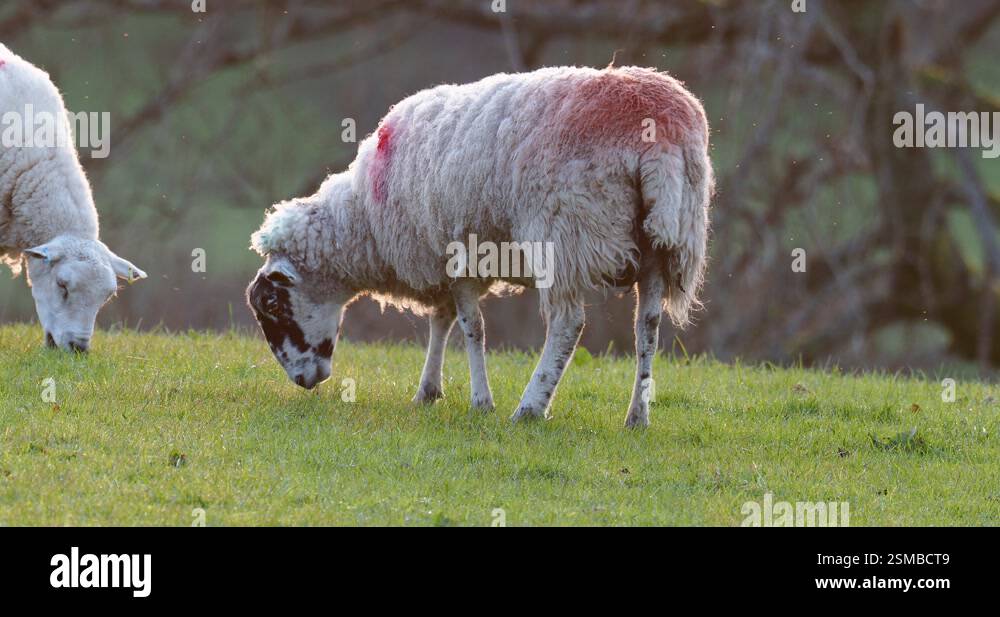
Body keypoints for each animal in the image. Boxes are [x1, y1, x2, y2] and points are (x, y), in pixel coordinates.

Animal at [247, 65, 713, 427]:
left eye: (271, 304)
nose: (303, 382)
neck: (364, 217)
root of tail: (662, 131)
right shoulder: (443, 261)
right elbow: (442, 321)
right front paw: (428, 390)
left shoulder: (456, 254)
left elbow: (472, 328)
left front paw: (480, 402)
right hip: (666, 243)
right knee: (647, 327)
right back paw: (637, 417)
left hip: (564, 230)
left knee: (567, 324)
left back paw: (530, 407)